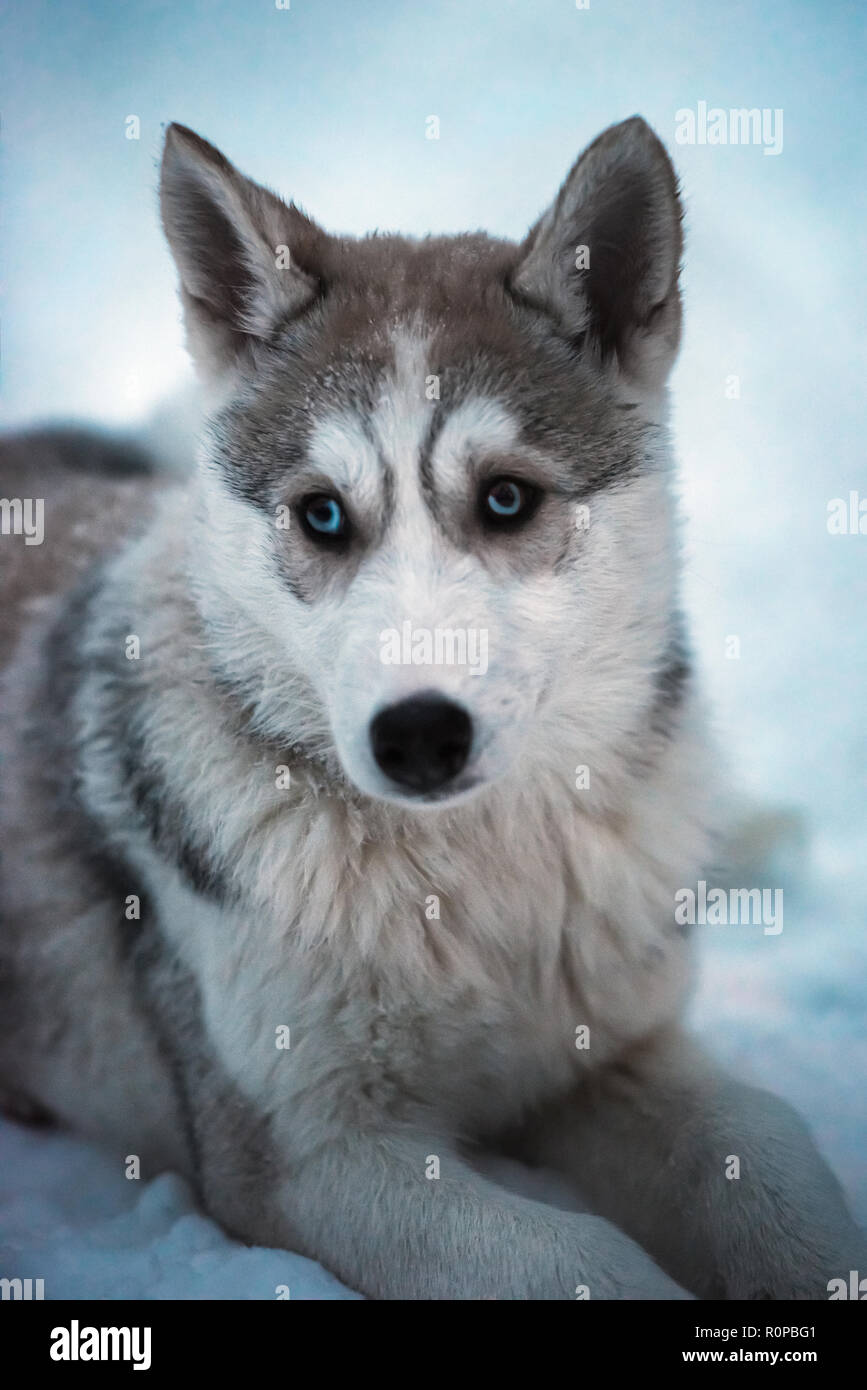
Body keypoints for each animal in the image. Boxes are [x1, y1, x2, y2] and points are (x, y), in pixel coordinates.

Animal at [0, 116, 863, 1299]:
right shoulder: (310, 1154)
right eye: (322, 514)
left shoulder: (616, 1054)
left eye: (506, 498)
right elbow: (583, 1258)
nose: (417, 734)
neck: (473, 882)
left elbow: (771, 1159)